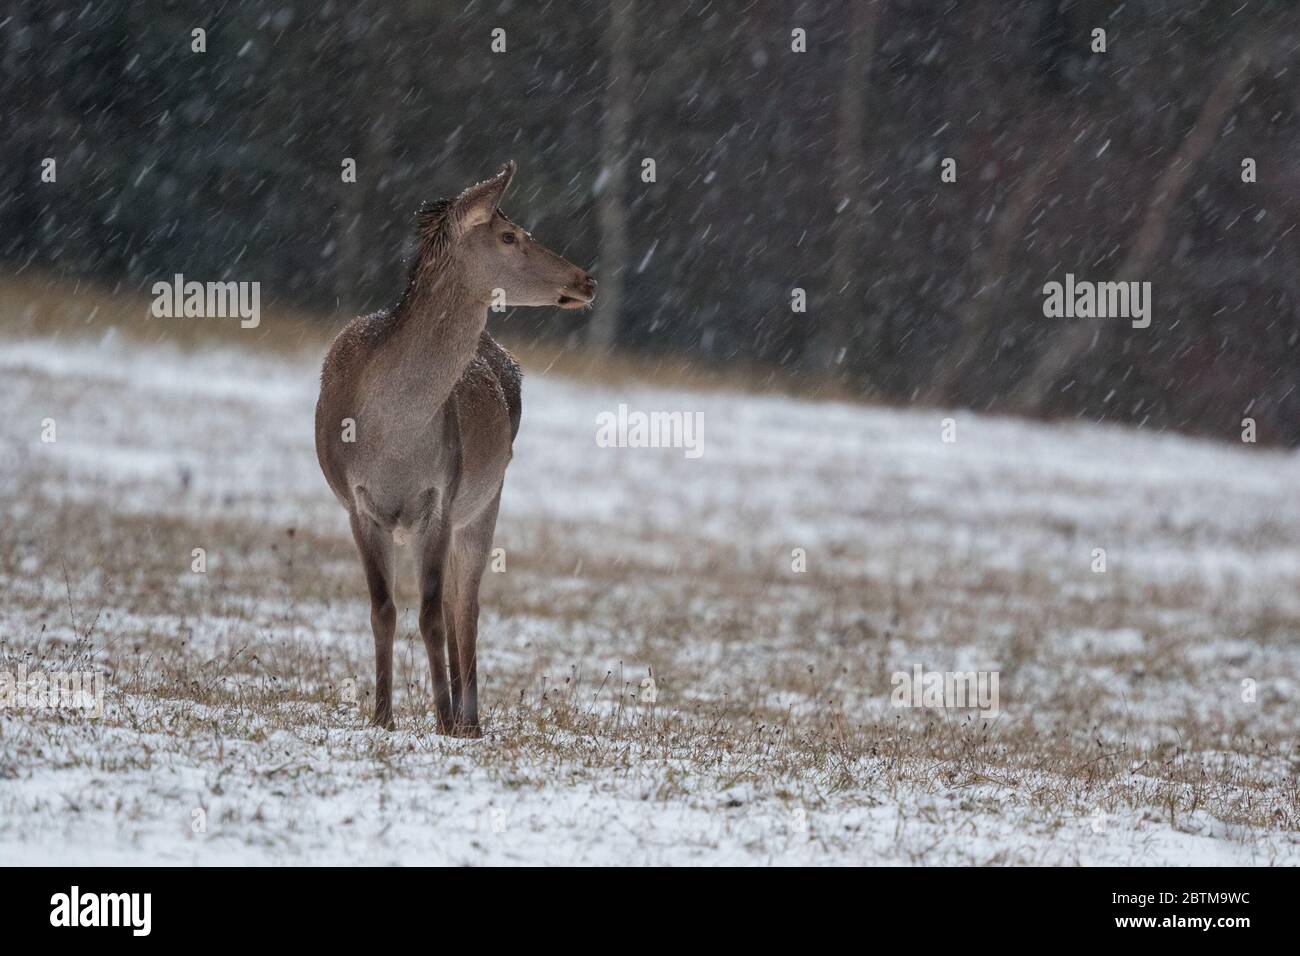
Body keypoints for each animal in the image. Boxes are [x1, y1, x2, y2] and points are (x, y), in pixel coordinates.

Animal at [315, 161, 596, 736]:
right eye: (510, 235)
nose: (587, 280)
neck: (390, 439)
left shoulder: (442, 497)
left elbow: (431, 614)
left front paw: (444, 718)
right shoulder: (358, 504)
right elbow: (384, 610)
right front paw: (382, 716)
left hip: (487, 498)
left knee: (465, 603)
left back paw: (470, 719)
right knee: (450, 602)